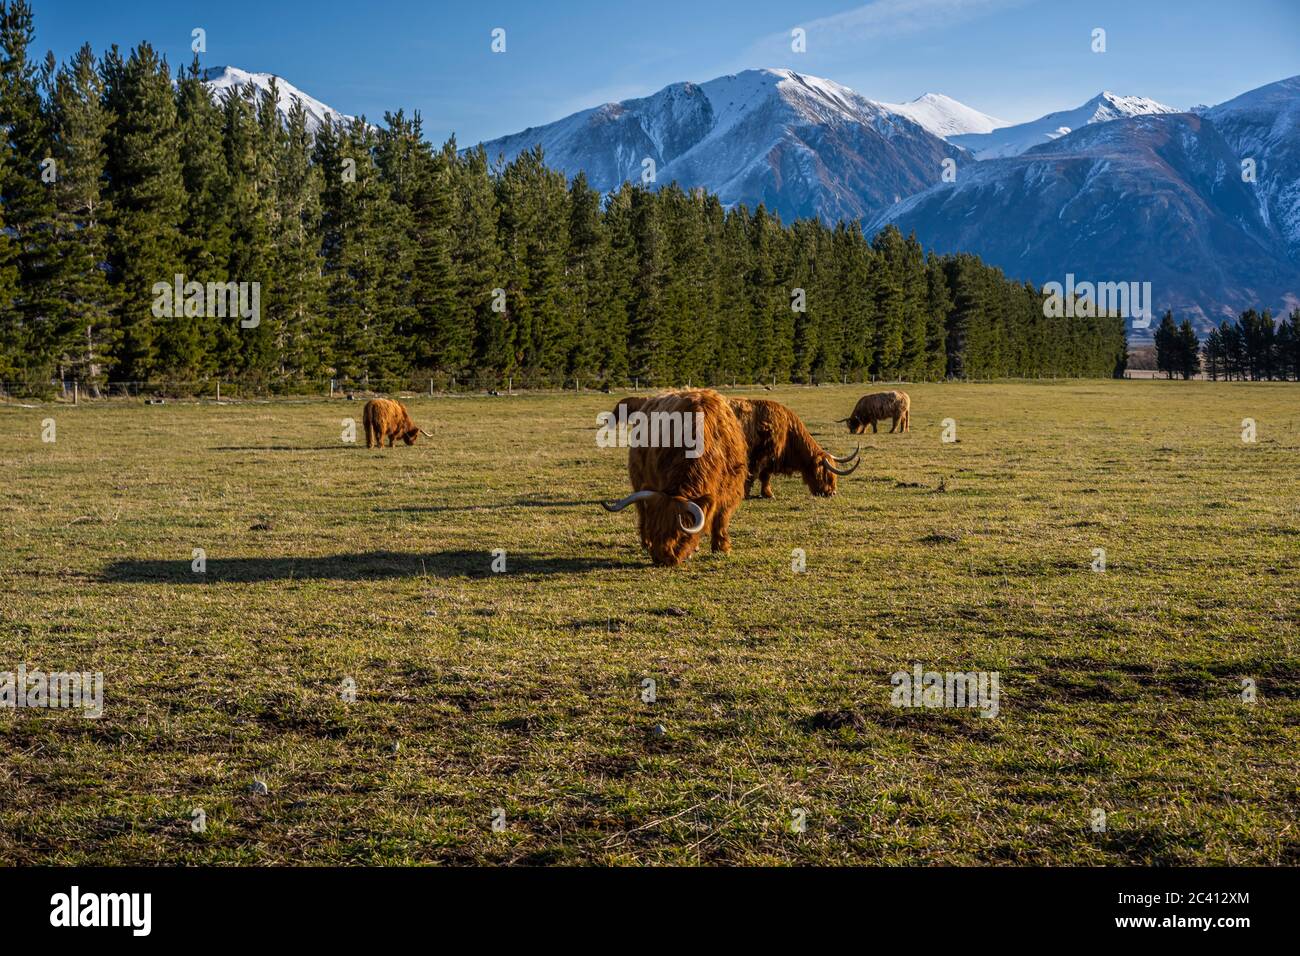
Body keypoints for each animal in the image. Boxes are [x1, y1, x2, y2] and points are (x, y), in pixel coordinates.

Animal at [601, 388, 747, 566]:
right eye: (655, 528)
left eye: (680, 533)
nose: (662, 558)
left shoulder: (731, 488)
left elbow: (721, 517)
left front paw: (722, 547)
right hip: (638, 479)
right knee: (642, 510)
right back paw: (645, 542)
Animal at [728, 398, 860, 498]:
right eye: (826, 475)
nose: (832, 493)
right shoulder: (761, 456)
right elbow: (756, 475)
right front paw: (747, 494)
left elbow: (765, 476)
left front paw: (767, 493)